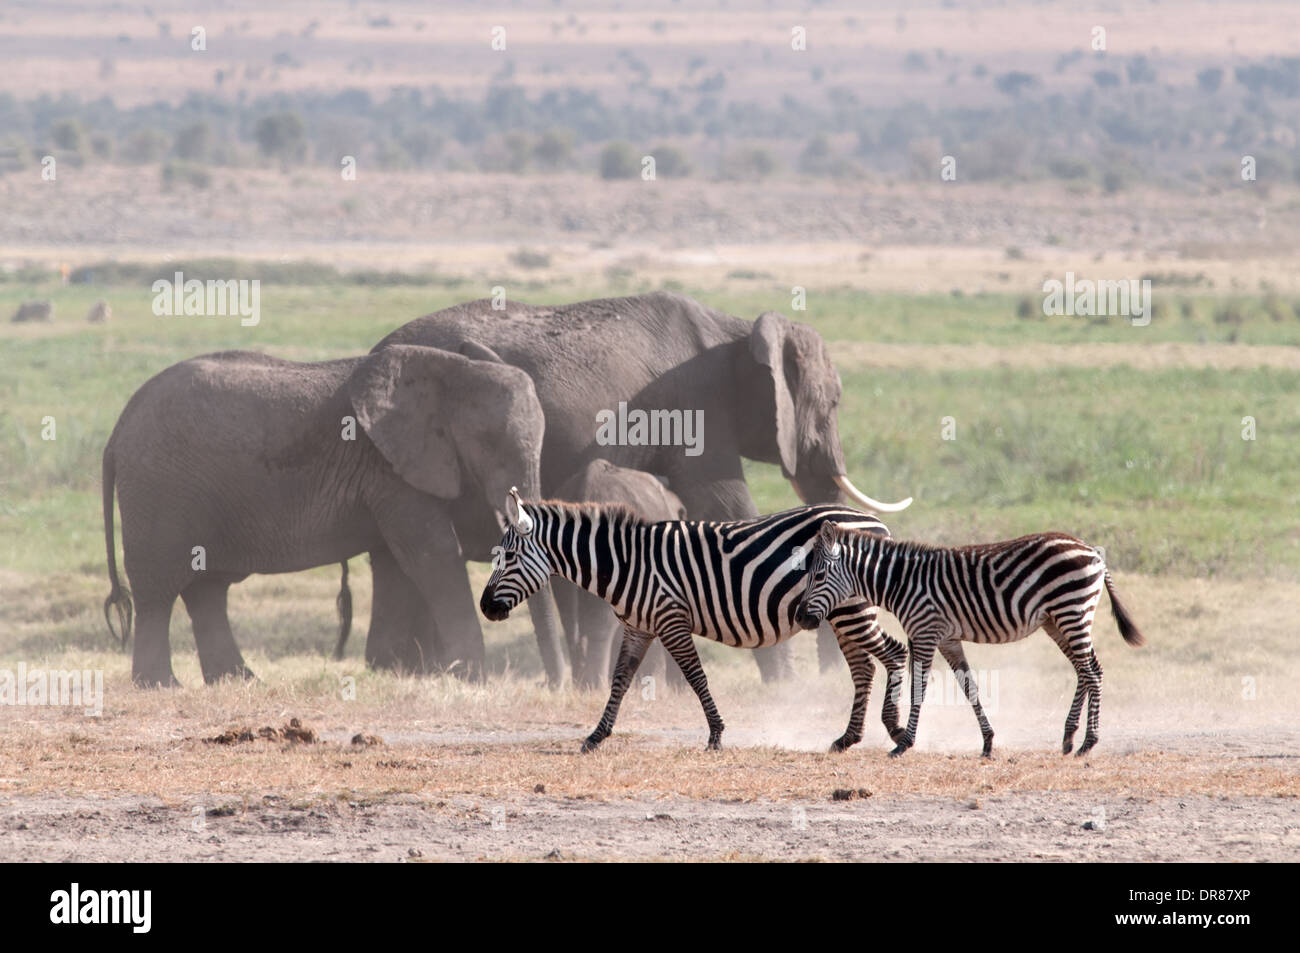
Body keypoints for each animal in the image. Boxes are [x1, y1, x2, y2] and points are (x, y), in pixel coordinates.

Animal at [101, 345, 565, 688]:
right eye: (489, 444)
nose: (550, 686)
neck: (453, 371)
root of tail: (119, 425)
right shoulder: (390, 465)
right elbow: (430, 554)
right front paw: (471, 678)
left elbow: (397, 561)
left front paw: (393, 672)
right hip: (160, 490)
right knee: (158, 588)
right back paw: (162, 685)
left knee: (207, 589)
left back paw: (240, 681)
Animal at [479, 489, 909, 753]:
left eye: (508, 558)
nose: (485, 607)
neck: (627, 563)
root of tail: (873, 521)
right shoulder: (639, 626)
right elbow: (620, 679)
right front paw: (596, 736)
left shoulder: (670, 618)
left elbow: (695, 675)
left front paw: (716, 735)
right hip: (838, 611)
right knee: (864, 667)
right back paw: (847, 738)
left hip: (850, 609)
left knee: (893, 653)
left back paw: (897, 732)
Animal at [792, 522, 1145, 758]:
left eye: (818, 576)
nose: (800, 617)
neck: (901, 583)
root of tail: (1091, 551)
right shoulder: (947, 638)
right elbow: (969, 686)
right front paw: (988, 742)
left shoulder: (924, 631)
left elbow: (919, 688)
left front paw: (904, 744)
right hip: (1057, 620)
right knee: (1084, 670)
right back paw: (1069, 737)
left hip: (1071, 612)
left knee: (1093, 672)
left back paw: (1088, 742)